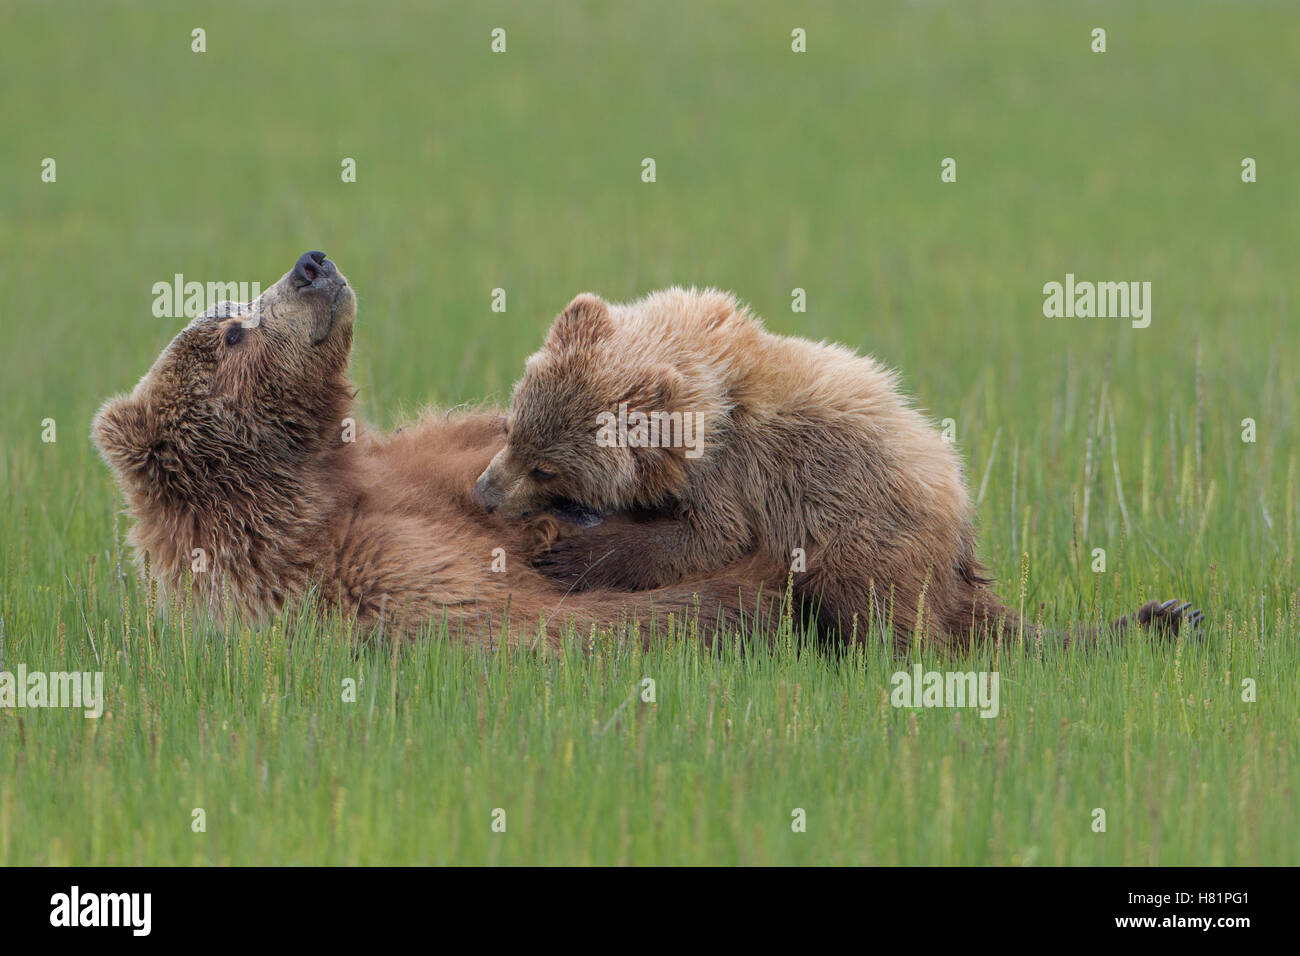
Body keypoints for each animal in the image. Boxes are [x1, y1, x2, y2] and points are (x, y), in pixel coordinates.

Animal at [92, 255, 784, 647]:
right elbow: (577, 622)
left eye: (237, 305)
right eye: (233, 332)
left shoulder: (423, 460)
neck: (316, 491)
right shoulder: (381, 575)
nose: (310, 264)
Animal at [472, 287, 1203, 650]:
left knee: (881, 605)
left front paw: (572, 553)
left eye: (546, 469)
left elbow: (702, 539)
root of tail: (961, 533)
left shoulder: (737, 474)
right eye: (515, 429)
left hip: (867, 528)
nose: (484, 492)